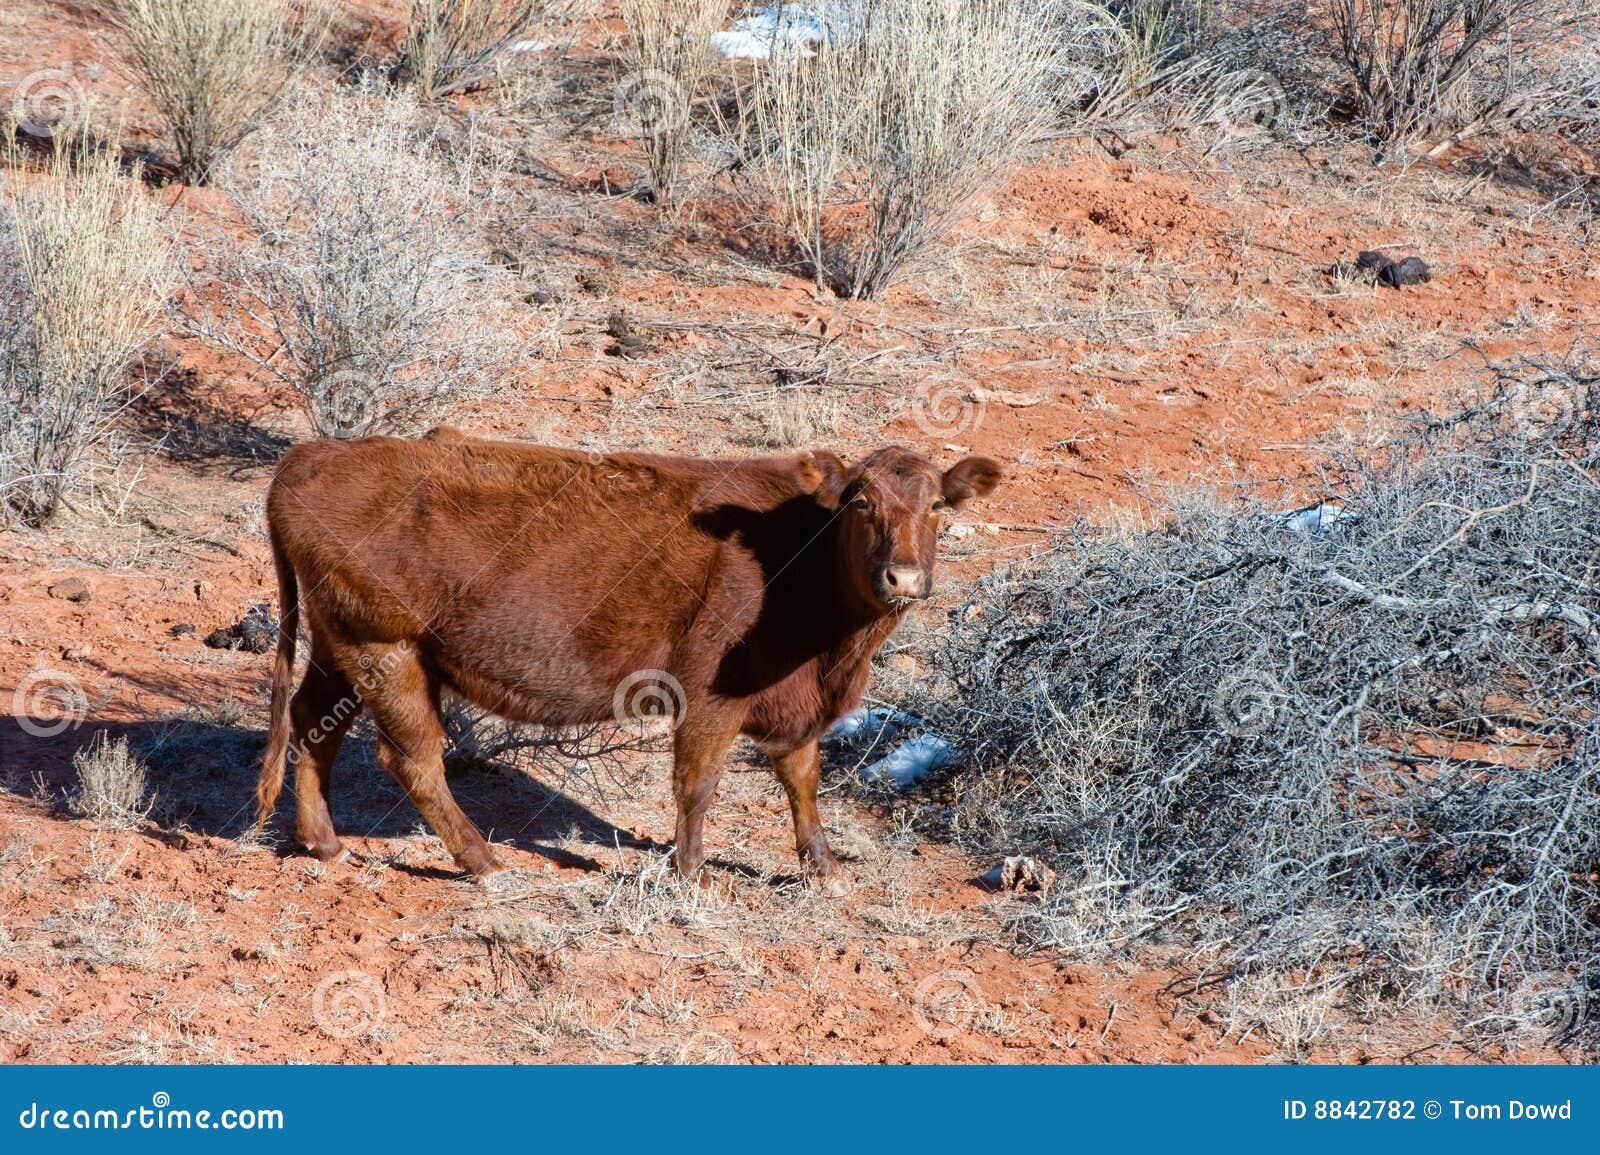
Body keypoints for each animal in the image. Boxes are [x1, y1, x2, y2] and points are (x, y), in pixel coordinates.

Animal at [254, 430, 1000, 893]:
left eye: (938, 504)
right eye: (861, 503)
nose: (902, 577)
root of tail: (310, 455)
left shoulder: (793, 705)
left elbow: (803, 781)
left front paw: (824, 869)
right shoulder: (711, 698)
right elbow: (699, 785)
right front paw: (692, 872)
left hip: (342, 646)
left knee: (313, 724)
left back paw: (322, 841)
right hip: (388, 650)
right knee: (411, 758)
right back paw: (485, 862)